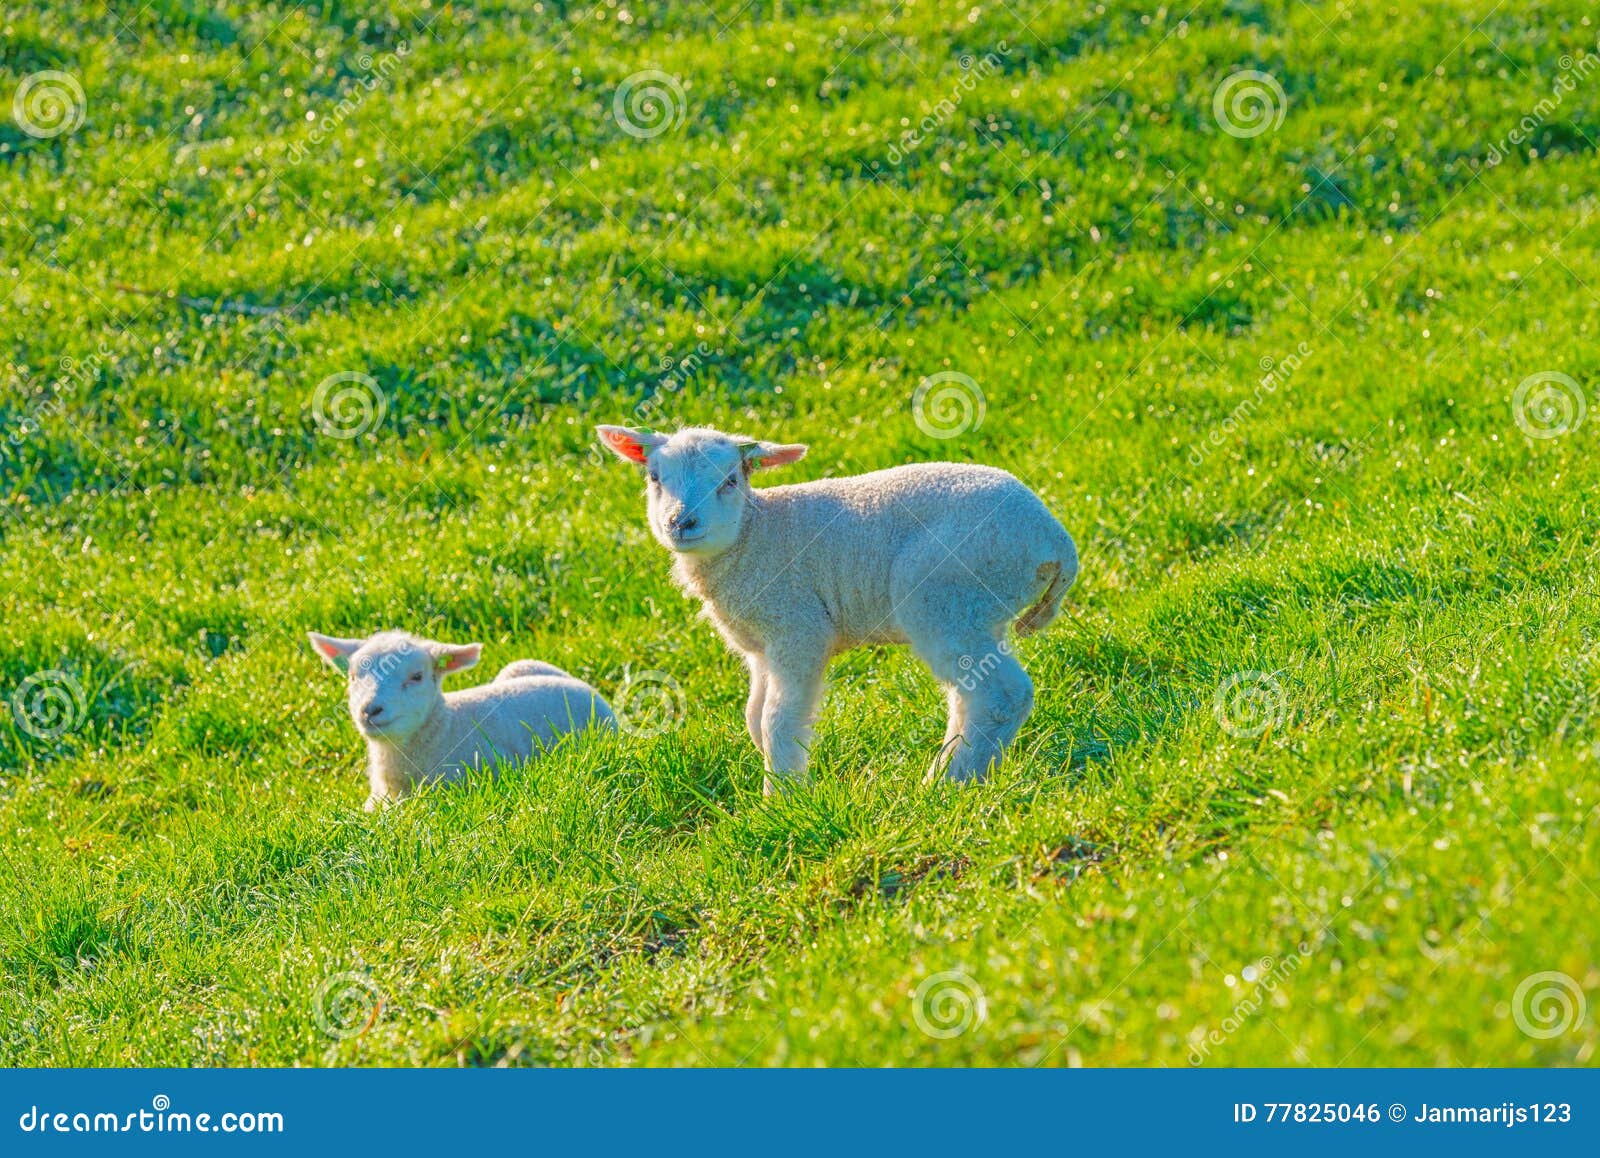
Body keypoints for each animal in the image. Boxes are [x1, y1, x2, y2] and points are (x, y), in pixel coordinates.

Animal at [596, 424, 1078, 791]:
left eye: (730, 480)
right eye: (654, 478)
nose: (681, 523)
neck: (755, 535)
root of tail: (1056, 540)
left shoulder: (798, 630)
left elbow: (776, 721)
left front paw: (782, 797)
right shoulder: (761, 649)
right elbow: (754, 718)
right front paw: (784, 774)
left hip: (946, 600)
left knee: (1001, 696)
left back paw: (948, 784)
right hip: (979, 610)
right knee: (970, 696)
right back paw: (956, 767)